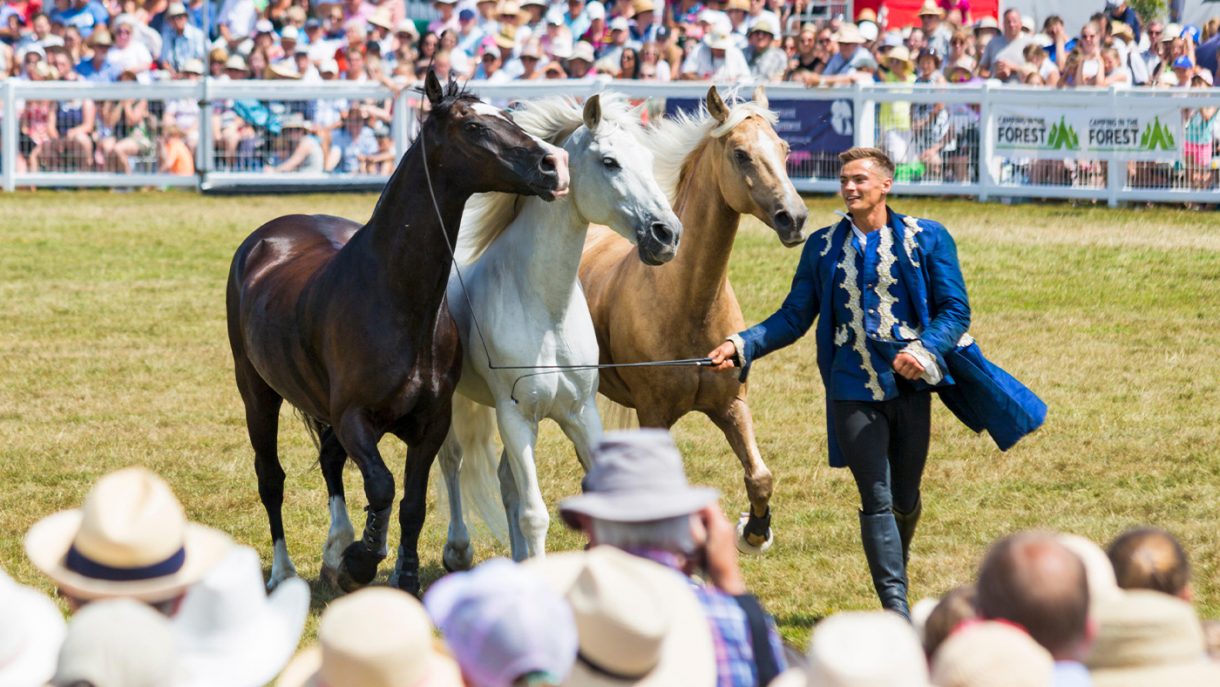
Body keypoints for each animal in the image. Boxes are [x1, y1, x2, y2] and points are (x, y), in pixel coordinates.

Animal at [225, 72, 569, 596]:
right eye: (473, 126)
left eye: (508, 115)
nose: (554, 165)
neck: (395, 299)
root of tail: (267, 238)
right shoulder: (354, 418)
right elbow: (382, 486)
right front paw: (361, 561)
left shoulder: (431, 424)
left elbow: (411, 503)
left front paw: (399, 575)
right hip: (256, 392)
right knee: (271, 478)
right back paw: (285, 572)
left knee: (330, 462)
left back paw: (333, 550)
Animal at [432, 94, 683, 569]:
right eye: (609, 162)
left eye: (647, 159)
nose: (667, 235)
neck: (546, 310)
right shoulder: (516, 418)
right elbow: (534, 514)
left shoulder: (581, 413)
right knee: (453, 461)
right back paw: (458, 548)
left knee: (502, 480)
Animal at [578, 86, 808, 554]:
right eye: (740, 154)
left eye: (784, 148)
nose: (793, 219)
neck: (688, 303)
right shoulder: (654, 415)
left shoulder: (731, 405)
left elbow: (760, 476)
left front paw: (754, 532)